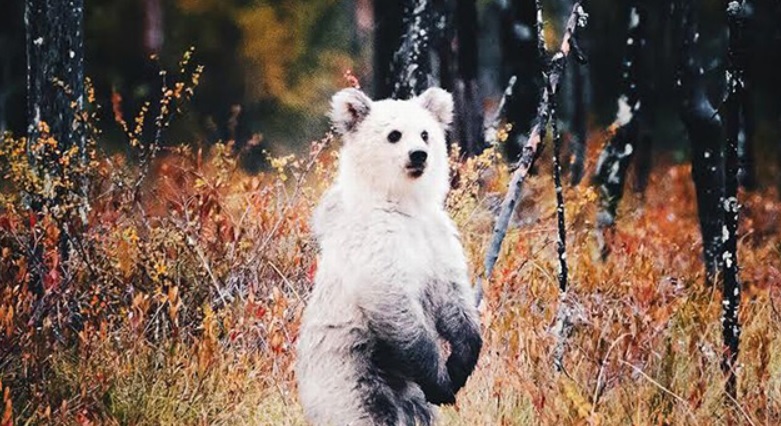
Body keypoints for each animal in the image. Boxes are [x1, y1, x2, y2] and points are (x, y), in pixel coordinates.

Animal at [295, 87, 482, 426]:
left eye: (425, 133)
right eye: (394, 134)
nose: (419, 155)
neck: (404, 204)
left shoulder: (436, 237)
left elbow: (455, 298)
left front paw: (459, 365)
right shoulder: (376, 242)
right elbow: (393, 300)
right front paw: (440, 381)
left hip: (410, 399)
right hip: (350, 377)